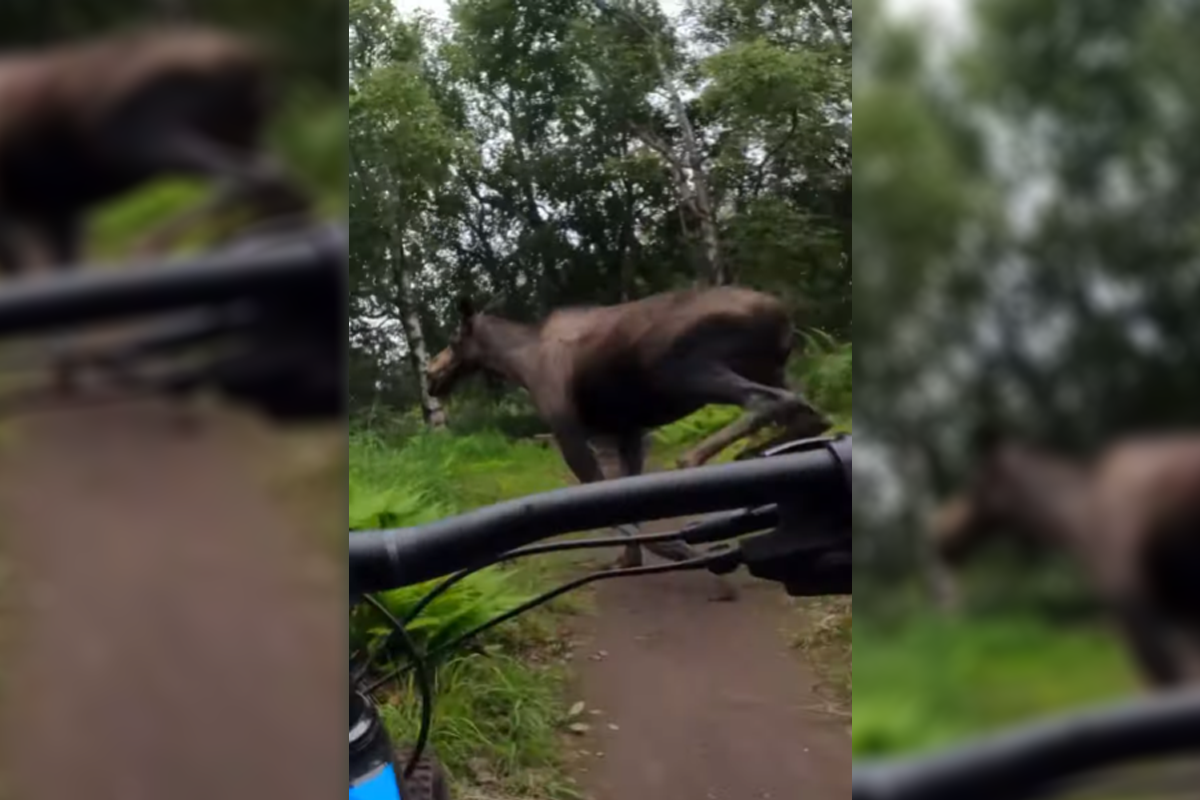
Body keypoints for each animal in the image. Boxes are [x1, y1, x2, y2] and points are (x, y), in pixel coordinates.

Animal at [0, 23, 310, 276]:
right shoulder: (55, 204)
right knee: (260, 174)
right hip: (220, 135)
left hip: (171, 138)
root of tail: (255, 61)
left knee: (247, 176)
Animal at [426, 288, 832, 602]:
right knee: (810, 412)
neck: (519, 363)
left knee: (769, 402)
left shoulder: (569, 431)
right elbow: (626, 499)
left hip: (688, 370)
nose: (430, 374)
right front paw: (631, 559)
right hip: (767, 368)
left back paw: (696, 460)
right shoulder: (629, 431)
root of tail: (782, 315)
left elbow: (610, 505)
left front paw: (678, 551)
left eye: (454, 340)